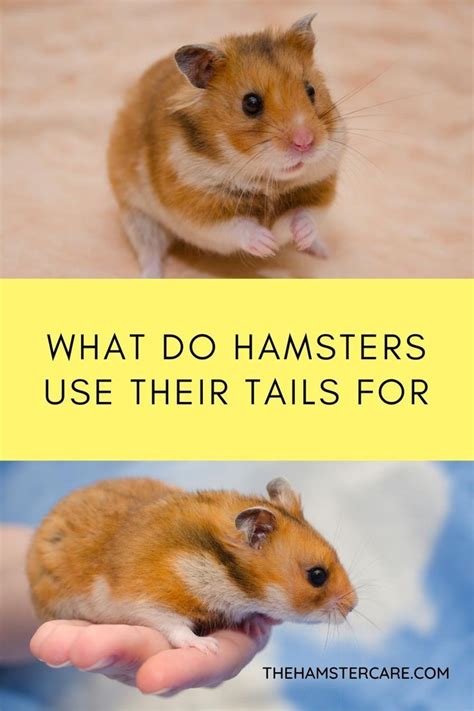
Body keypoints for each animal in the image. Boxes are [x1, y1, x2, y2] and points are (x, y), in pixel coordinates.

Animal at [27, 476, 357, 654]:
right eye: (317, 575)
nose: (352, 606)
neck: (220, 567)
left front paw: (253, 624)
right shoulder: (145, 601)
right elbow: (173, 626)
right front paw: (208, 647)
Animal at [107, 14, 345, 277]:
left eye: (310, 90)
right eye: (251, 103)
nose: (305, 143)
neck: (268, 182)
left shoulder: (319, 188)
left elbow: (304, 215)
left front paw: (299, 237)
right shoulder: (197, 206)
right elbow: (238, 227)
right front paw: (268, 245)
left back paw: (322, 251)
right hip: (137, 216)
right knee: (149, 251)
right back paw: (152, 275)